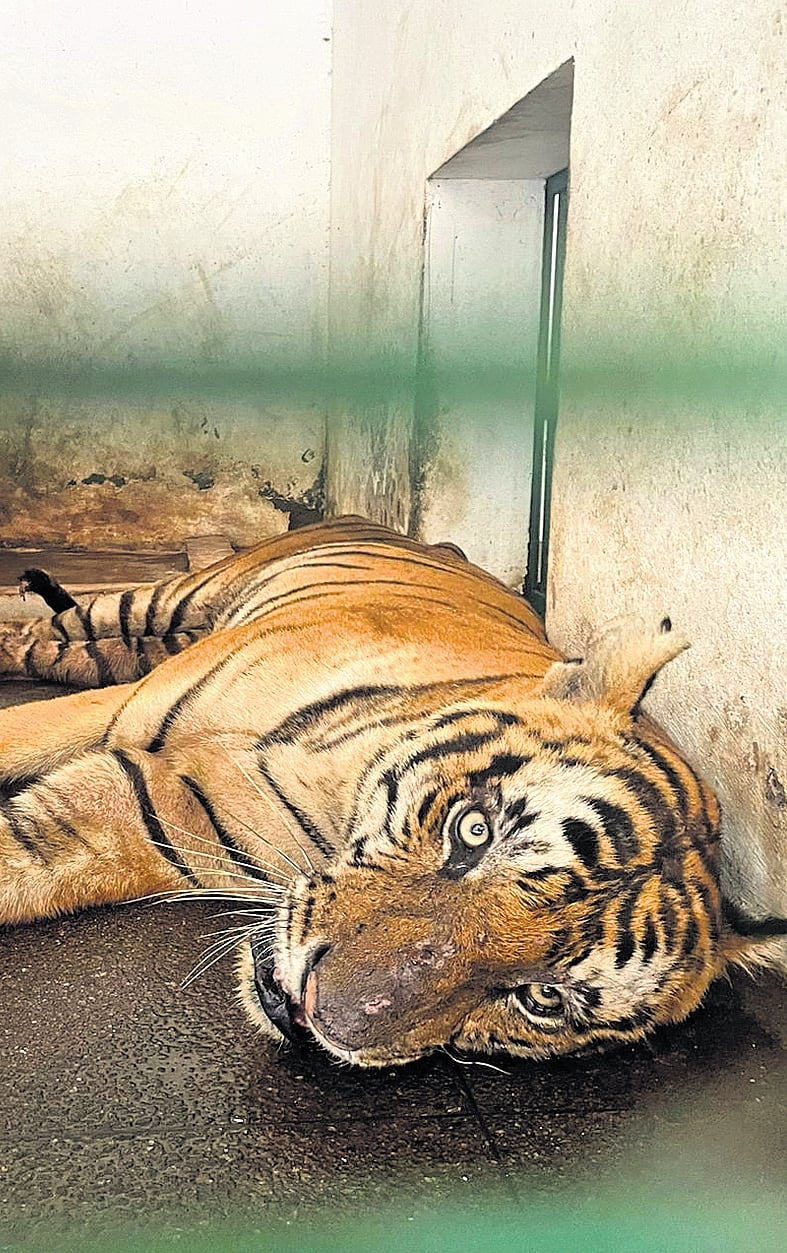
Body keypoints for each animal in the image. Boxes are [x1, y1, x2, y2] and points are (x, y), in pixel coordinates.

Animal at [0, 515, 784, 1068]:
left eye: (542, 996)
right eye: (473, 831)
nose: (318, 1011)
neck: (330, 813)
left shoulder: (145, 812)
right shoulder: (119, 718)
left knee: (63, 643)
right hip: (170, 597)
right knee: (67, 615)